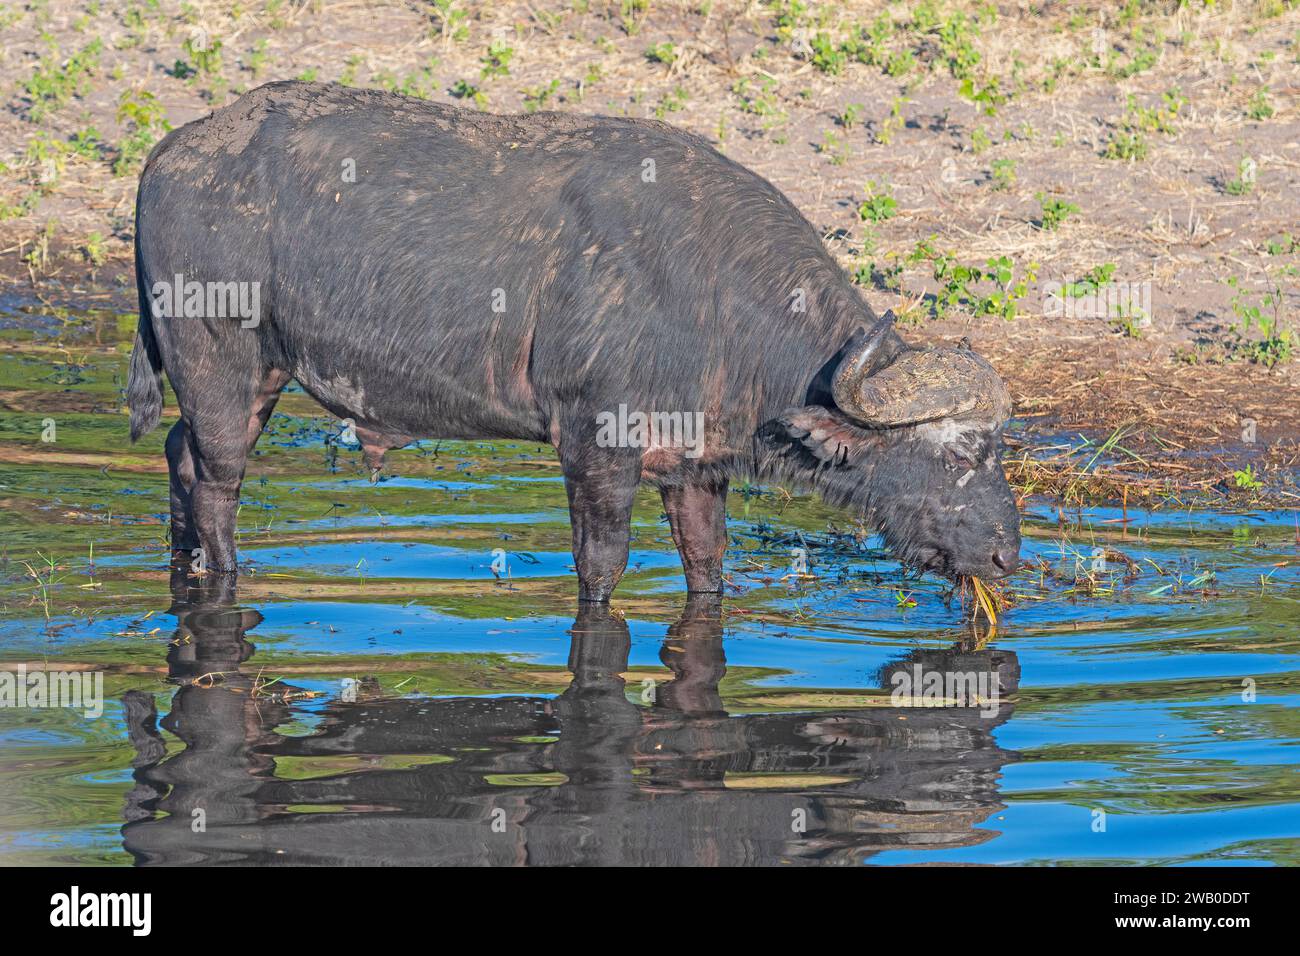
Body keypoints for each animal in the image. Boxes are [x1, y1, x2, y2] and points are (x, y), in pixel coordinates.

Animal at [128, 81, 1020, 601]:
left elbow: (707, 566)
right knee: (216, 485)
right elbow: (601, 569)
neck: (709, 299)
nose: (1007, 556)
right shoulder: (595, 450)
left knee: (178, 456)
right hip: (220, 365)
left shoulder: (695, 467)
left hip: (250, 380)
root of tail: (170, 153)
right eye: (956, 456)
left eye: (998, 451)